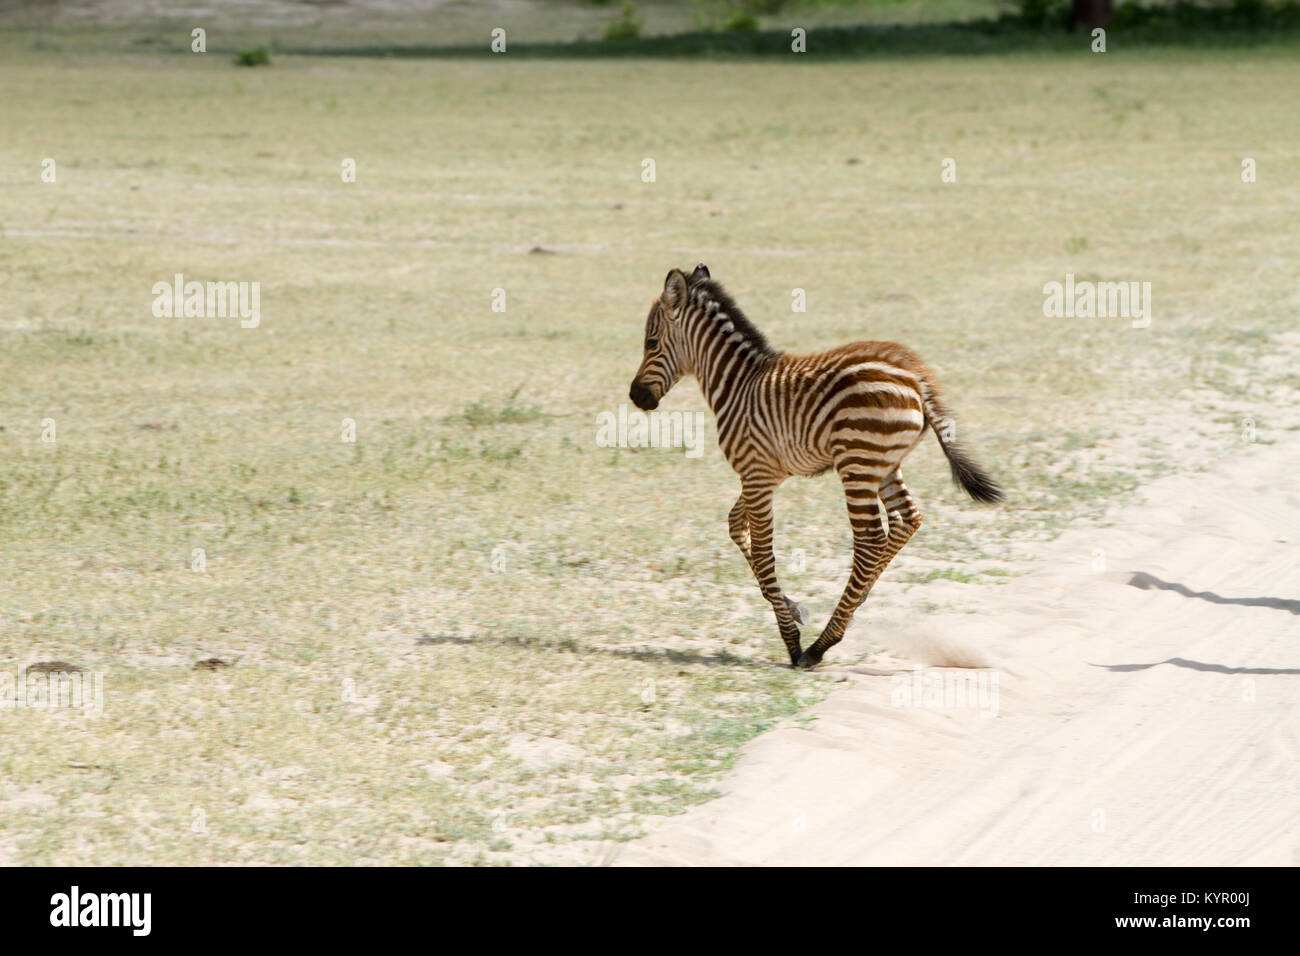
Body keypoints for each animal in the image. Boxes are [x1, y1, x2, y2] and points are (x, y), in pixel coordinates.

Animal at [628, 263, 1002, 668]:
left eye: (651, 343)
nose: (636, 397)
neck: (737, 385)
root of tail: (917, 375)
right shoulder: (764, 473)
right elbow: (735, 527)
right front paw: (795, 609)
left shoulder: (756, 473)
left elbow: (762, 549)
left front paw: (791, 638)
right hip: (885, 465)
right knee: (908, 519)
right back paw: (857, 601)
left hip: (857, 464)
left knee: (871, 539)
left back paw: (821, 644)